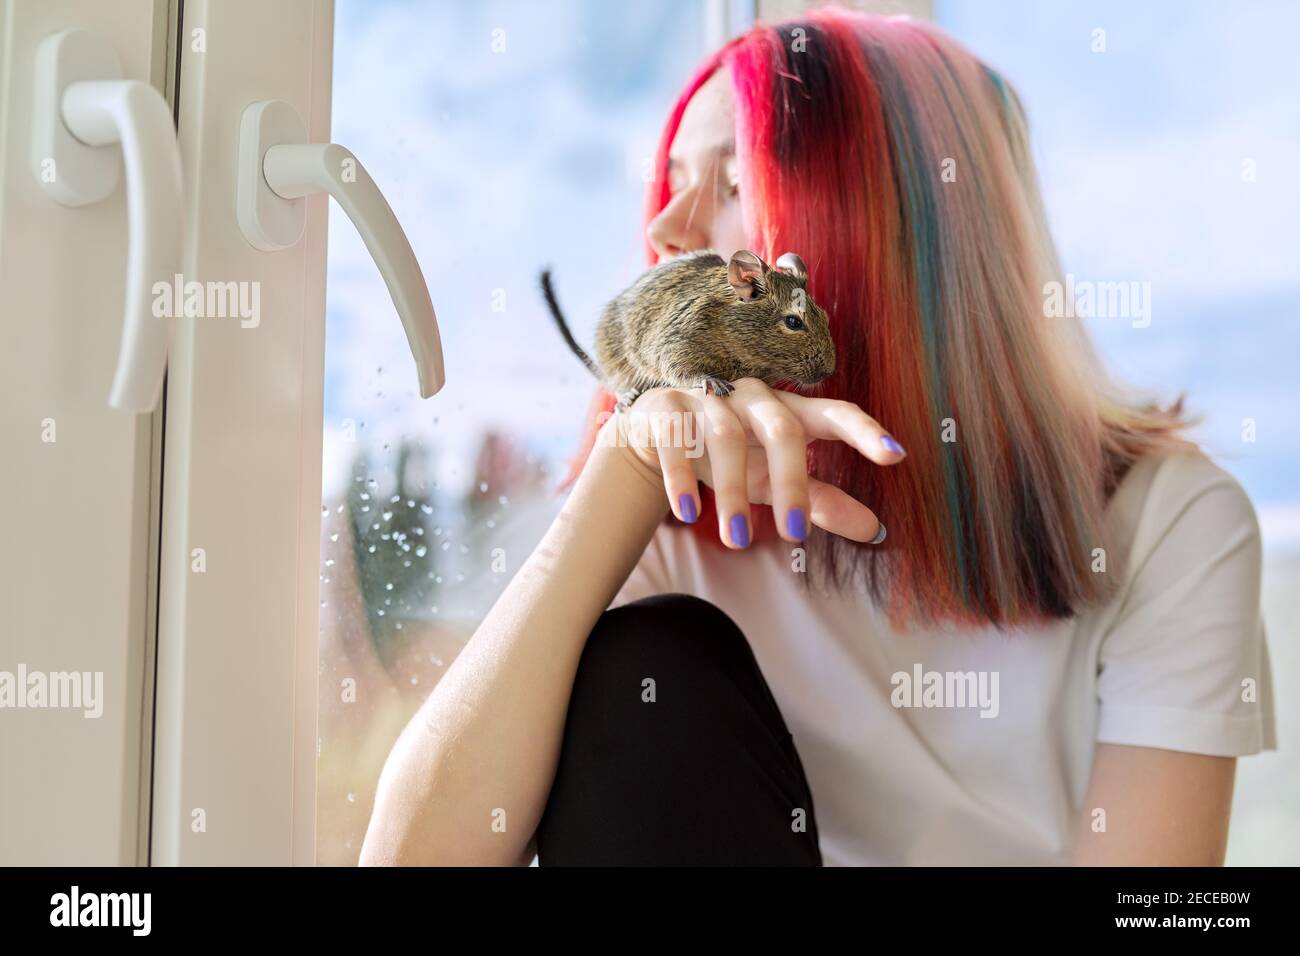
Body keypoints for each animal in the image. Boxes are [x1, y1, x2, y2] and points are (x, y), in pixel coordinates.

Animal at [539, 249, 836, 410]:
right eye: (794, 322)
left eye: (824, 317)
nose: (829, 372)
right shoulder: (675, 343)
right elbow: (681, 371)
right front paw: (711, 381)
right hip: (616, 363)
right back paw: (628, 395)